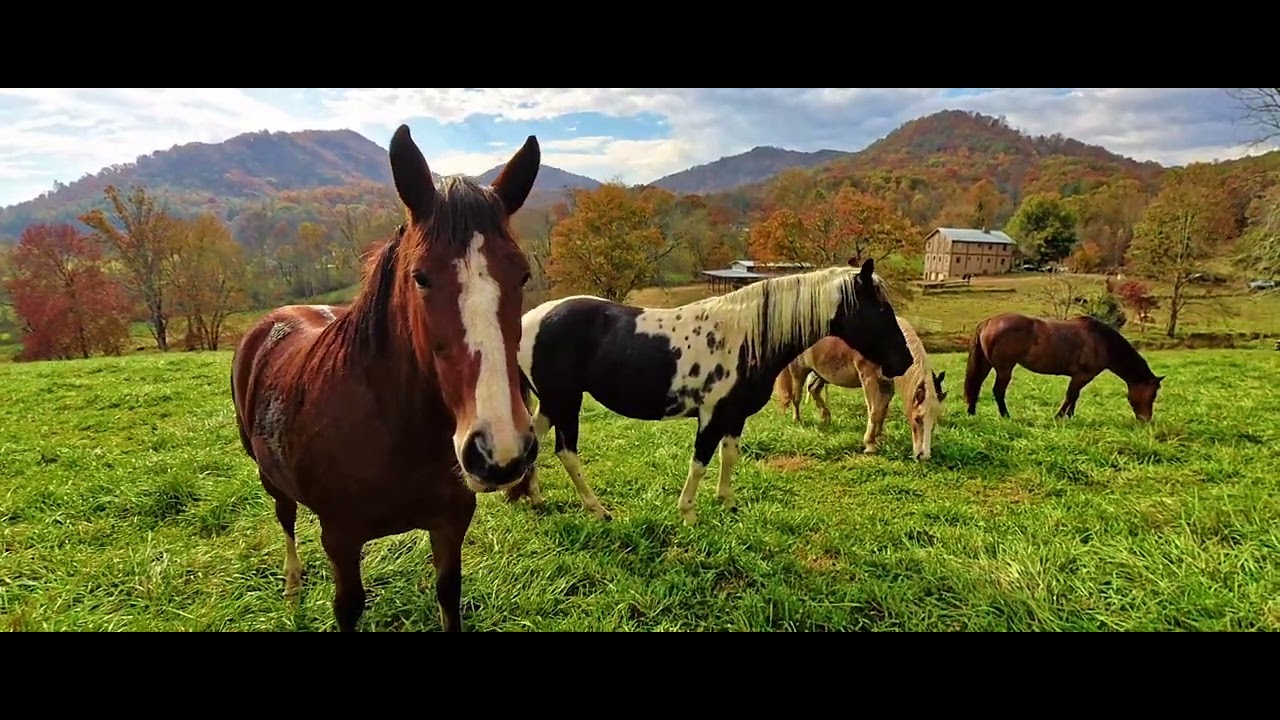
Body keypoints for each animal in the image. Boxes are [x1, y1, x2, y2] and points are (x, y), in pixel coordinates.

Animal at [229, 125, 543, 632]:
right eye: (421, 277)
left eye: (523, 275)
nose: (501, 452)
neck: (392, 430)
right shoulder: (340, 539)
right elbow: (348, 607)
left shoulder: (451, 522)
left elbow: (448, 594)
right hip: (268, 476)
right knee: (285, 518)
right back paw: (293, 586)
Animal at [501, 258, 914, 525]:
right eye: (880, 309)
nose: (905, 360)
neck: (745, 336)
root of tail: (530, 319)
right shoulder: (711, 416)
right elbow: (699, 462)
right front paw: (688, 513)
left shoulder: (734, 415)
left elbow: (729, 457)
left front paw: (727, 502)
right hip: (565, 400)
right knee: (566, 452)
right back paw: (597, 509)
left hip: (552, 402)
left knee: (537, 443)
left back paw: (535, 498)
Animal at [774, 316, 947, 461]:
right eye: (918, 418)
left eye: (935, 420)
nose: (923, 456)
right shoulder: (868, 378)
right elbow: (874, 412)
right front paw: (870, 445)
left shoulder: (887, 384)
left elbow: (882, 410)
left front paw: (878, 438)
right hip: (799, 370)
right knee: (797, 397)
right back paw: (797, 421)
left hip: (820, 373)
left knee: (814, 390)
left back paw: (825, 418)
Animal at [963, 312, 1165, 421]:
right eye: (1152, 394)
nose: (1145, 420)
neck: (1103, 343)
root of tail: (988, 322)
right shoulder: (1083, 375)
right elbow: (1071, 395)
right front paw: (1060, 416)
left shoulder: (1081, 377)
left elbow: (1075, 396)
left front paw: (1070, 416)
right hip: (1005, 368)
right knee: (998, 391)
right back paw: (1005, 415)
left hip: (987, 364)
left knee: (976, 385)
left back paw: (971, 412)